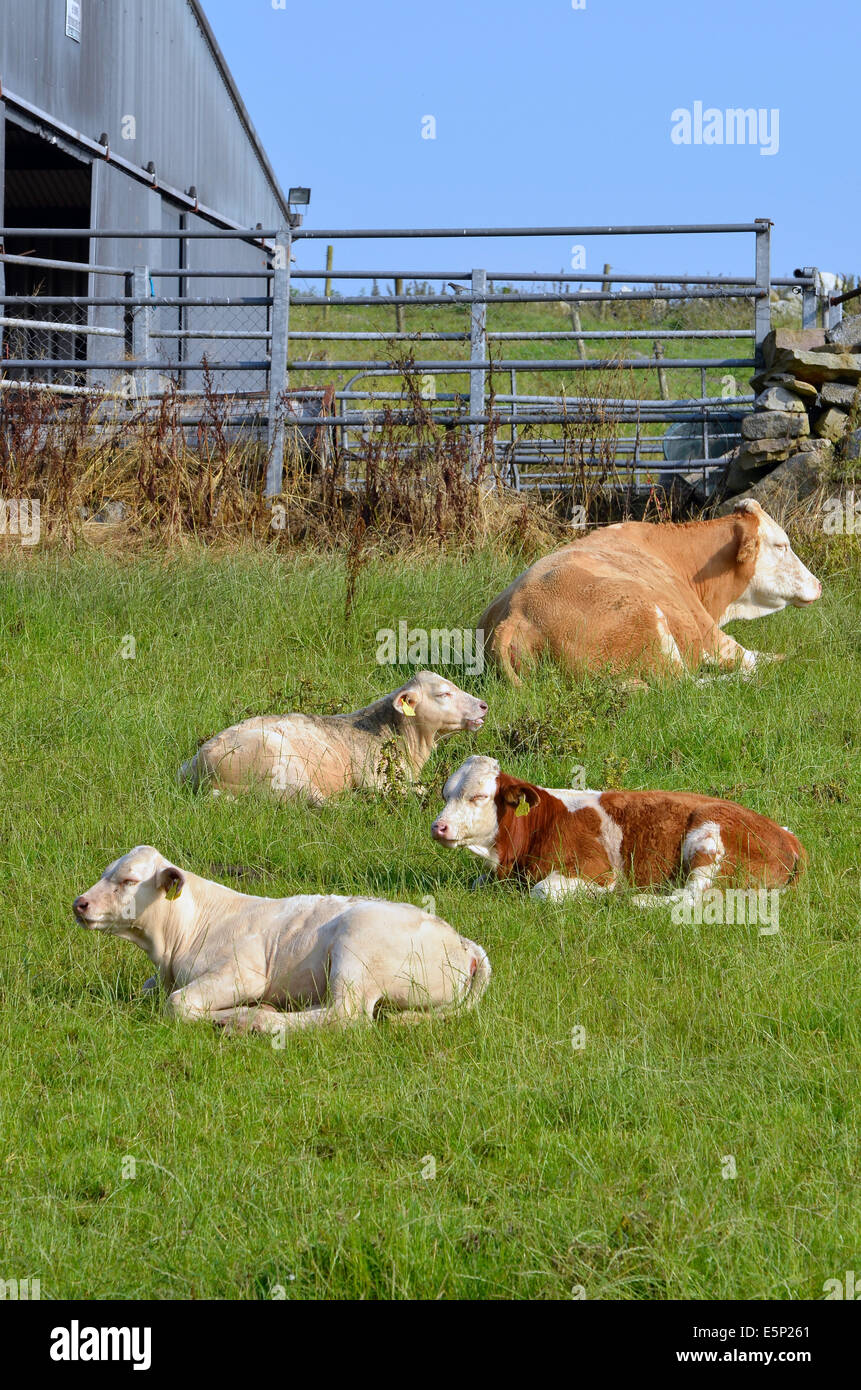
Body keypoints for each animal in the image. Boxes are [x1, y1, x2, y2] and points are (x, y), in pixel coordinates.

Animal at [73, 847, 491, 1035]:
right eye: (106, 872)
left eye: (128, 879)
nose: (80, 903)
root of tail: (464, 943)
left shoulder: (243, 973)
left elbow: (177, 1004)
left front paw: (236, 1015)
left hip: (356, 949)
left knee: (346, 1016)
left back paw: (259, 1020)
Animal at [179, 670, 487, 804]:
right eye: (443, 693)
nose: (483, 705)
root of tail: (198, 768)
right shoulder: (377, 781)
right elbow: (424, 790)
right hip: (285, 768)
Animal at [431, 756, 805, 908]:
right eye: (446, 794)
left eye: (478, 796)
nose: (438, 827)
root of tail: (786, 835)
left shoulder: (595, 870)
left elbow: (543, 892)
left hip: (709, 837)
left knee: (693, 895)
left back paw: (638, 899)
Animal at [477, 500, 821, 683]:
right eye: (781, 545)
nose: (818, 584)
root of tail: (516, 612)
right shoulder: (710, 635)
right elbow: (753, 658)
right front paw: (796, 659)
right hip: (654, 633)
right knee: (684, 686)